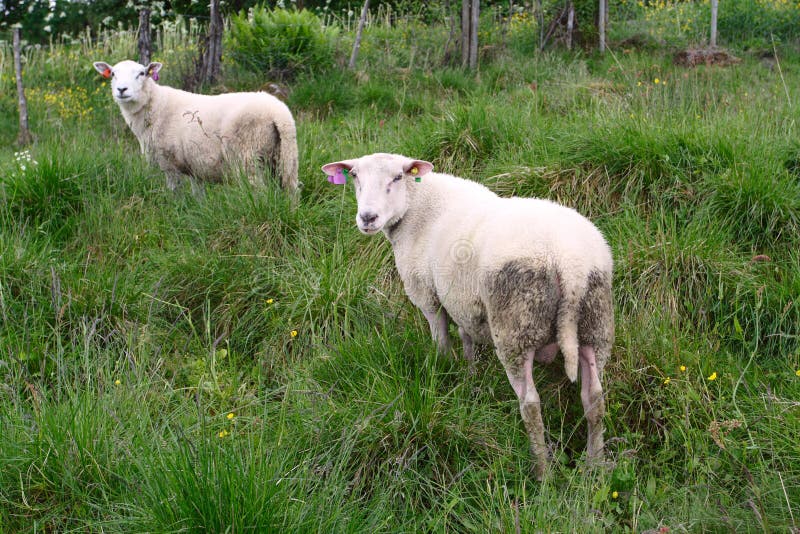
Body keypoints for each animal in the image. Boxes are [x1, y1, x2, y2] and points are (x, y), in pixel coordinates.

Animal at [92, 59, 298, 193]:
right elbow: (198, 195)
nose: (122, 90)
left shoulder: (169, 163)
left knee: (258, 190)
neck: (156, 104)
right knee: (292, 188)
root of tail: (279, 114)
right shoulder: (194, 165)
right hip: (284, 155)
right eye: (113, 74)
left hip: (247, 155)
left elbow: (175, 193)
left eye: (141, 73)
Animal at [322, 153, 614, 478]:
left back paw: (543, 471)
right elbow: (466, 336)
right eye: (355, 176)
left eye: (398, 177)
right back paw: (595, 467)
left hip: (515, 328)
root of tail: (569, 263)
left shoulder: (427, 295)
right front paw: (470, 375)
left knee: (530, 404)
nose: (368, 218)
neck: (418, 205)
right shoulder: (462, 302)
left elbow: (441, 342)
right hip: (595, 324)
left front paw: (443, 375)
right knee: (594, 399)